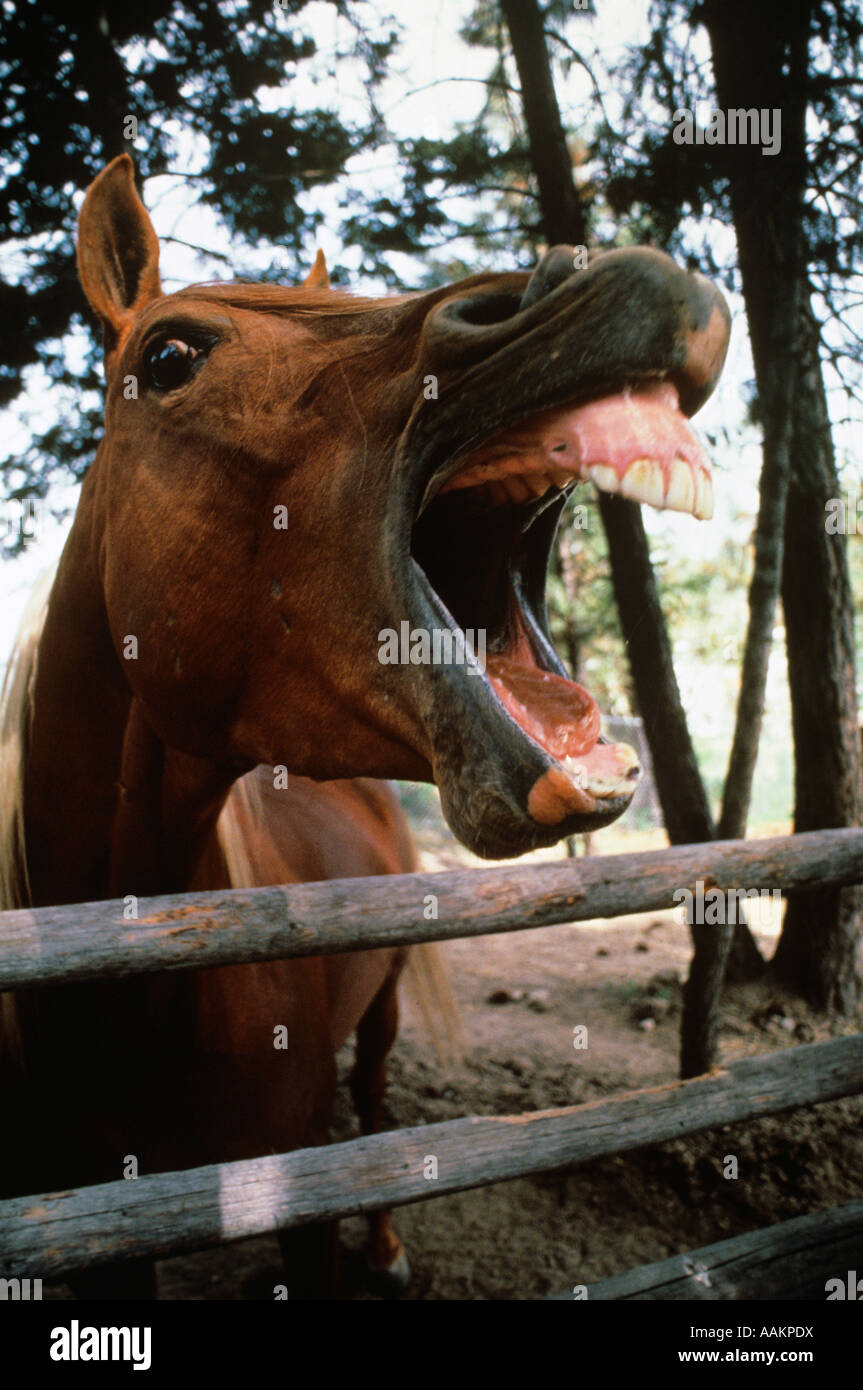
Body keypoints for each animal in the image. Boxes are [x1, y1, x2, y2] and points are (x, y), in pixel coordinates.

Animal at [0, 156, 729, 1299]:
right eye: (167, 355)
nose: (611, 278)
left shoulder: (293, 1182)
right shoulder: (96, 1227)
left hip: (381, 1010)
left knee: (378, 1102)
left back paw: (385, 1245)